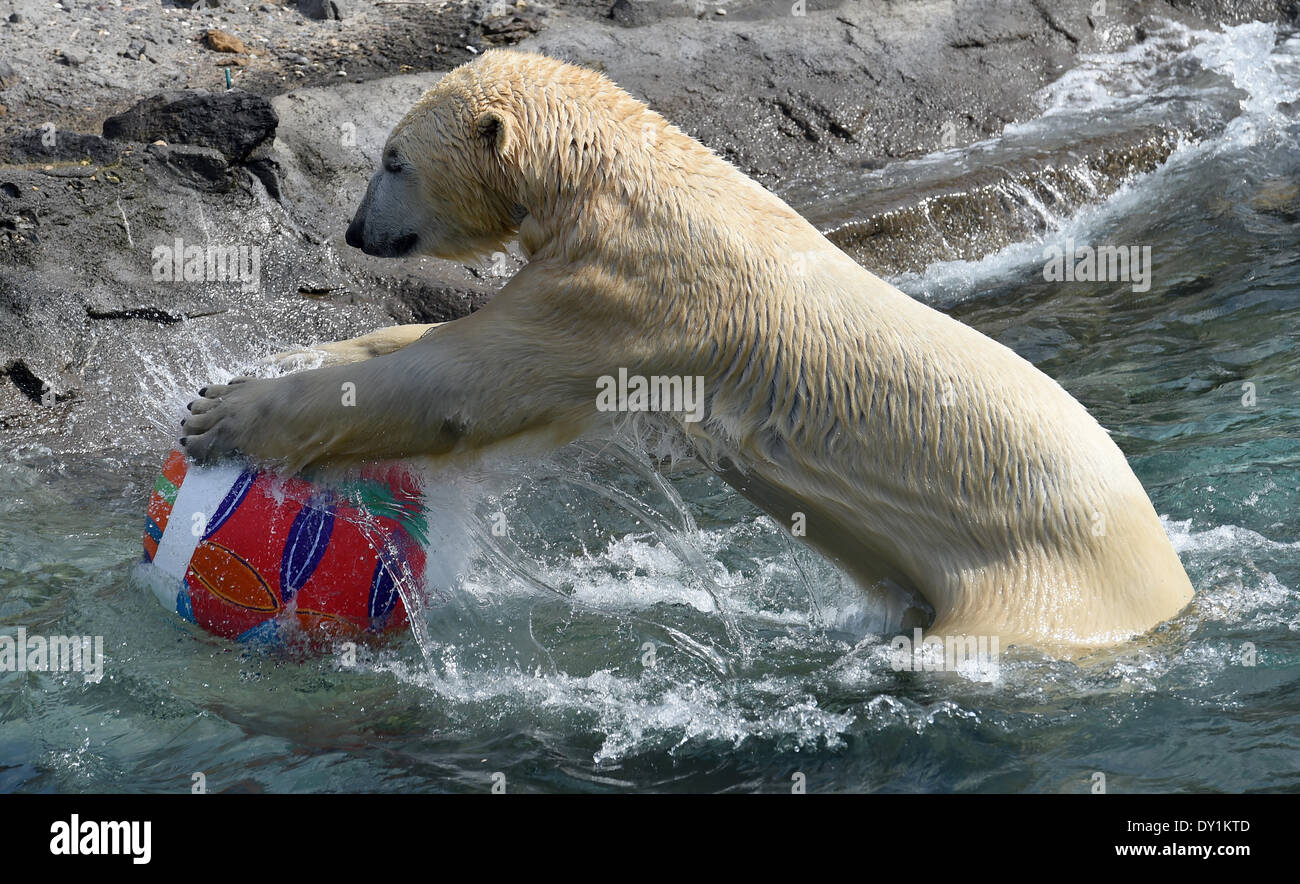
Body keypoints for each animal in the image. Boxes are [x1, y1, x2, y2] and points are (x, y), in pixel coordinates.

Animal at [180, 49, 1195, 652]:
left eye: (392, 160)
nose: (355, 233)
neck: (624, 178)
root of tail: (1169, 585)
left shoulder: (632, 290)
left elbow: (465, 383)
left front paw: (224, 414)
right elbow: (442, 341)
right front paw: (306, 351)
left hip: (1042, 579)